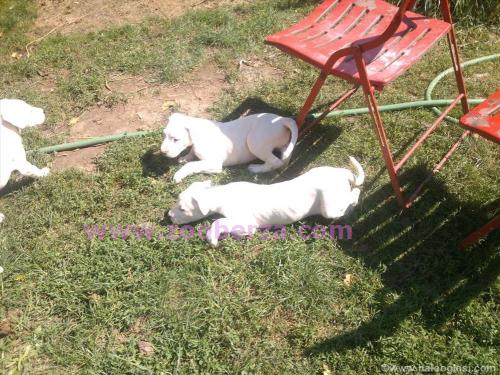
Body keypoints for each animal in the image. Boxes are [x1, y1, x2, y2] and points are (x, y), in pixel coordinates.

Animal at [160, 113, 296, 184]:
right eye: (164, 134)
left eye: (176, 139)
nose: (162, 152)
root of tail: (283, 120)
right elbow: (192, 154)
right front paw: (185, 157)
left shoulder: (214, 163)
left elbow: (193, 165)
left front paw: (180, 174)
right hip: (284, 146)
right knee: (284, 158)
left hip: (255, 142)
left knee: (275, 162)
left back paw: (256, 169)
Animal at [168, 156, 364, 247]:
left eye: (182, 209)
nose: (169, 216)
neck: (223, 194)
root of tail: (341, 173)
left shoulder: (247, 223)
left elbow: (218, 221)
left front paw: (212, 238)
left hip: (330, 208)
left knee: (354, 193)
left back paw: (354, 201)